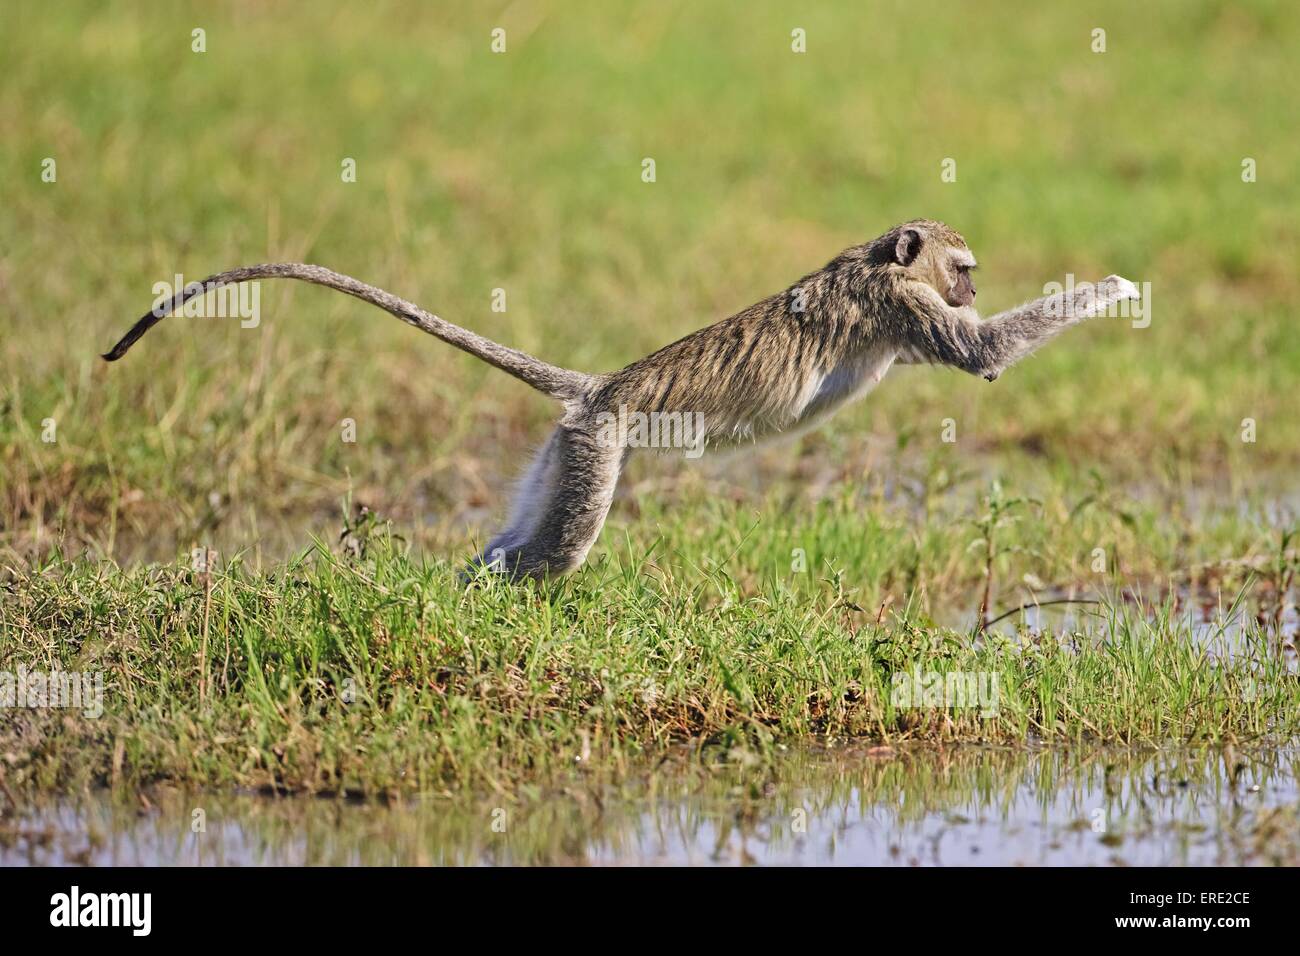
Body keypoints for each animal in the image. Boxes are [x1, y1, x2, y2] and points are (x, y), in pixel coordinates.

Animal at [103, 219, 1139, 580]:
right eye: (964, 271)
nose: (968, 288)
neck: (877, 256)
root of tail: (600, 388)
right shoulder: (905, 306)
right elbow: (984, 358)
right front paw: (1120, 285)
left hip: (566, 446)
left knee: (518, 536)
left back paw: (463, 584)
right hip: (598, 447)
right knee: (555, 552)